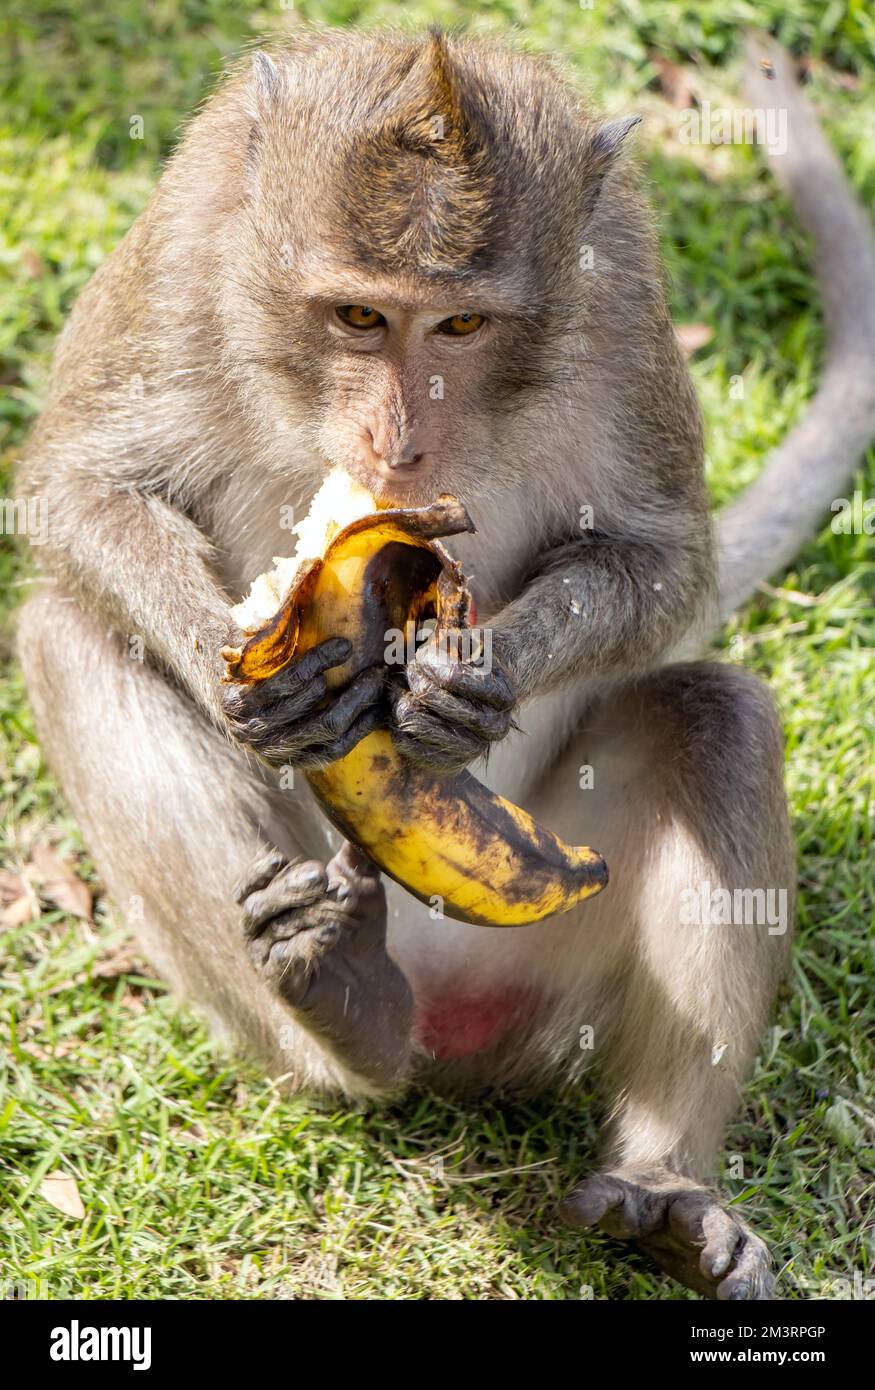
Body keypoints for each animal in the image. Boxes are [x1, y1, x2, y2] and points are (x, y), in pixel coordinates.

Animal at [15, 28, 875, 1299]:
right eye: (358, 316)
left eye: (460, 329)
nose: (400, 443)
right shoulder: (188, 242)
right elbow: (75, 485)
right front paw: (240, 678)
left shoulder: (615, 292)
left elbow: (663, 555)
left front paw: (474, 680)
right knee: (68, 635)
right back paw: (344, 1009)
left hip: (539, 965)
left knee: (713, 712)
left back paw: (665, 1184)